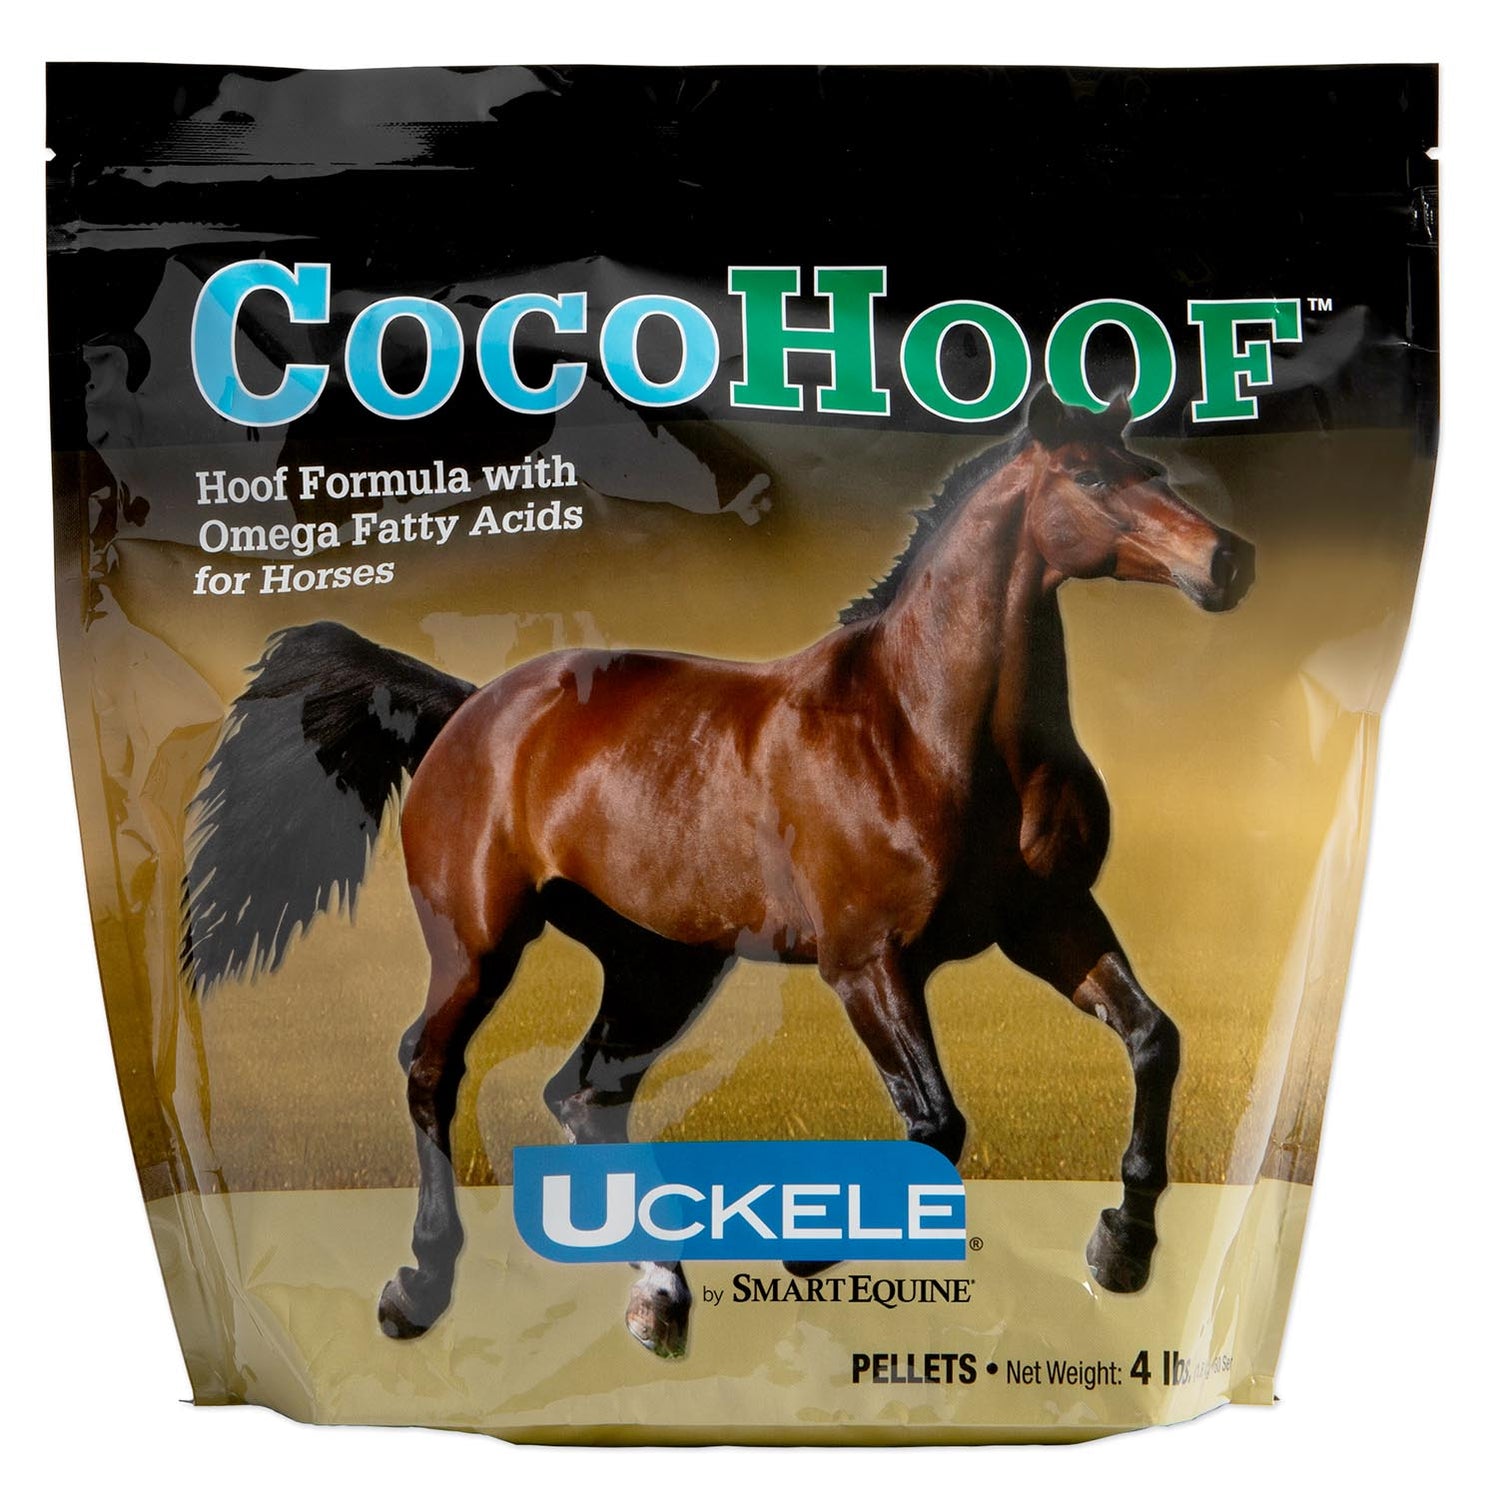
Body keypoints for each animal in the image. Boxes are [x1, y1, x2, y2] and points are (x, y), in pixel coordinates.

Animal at [182, 385, 1254, 1358]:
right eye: (1090, 478)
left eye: (1151, 468)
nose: (1225, 561)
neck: (926, 730)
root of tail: (467, 707)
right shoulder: (867, 963)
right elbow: (935, 1125)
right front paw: (809, 1251)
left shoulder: (1051, 921)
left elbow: (1153, 1041)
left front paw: (1121, 1248)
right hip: (481, 944)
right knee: (432, 1069)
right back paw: (419, 1285)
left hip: (660, 964)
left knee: (581, 1096)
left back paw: (658, 1293)